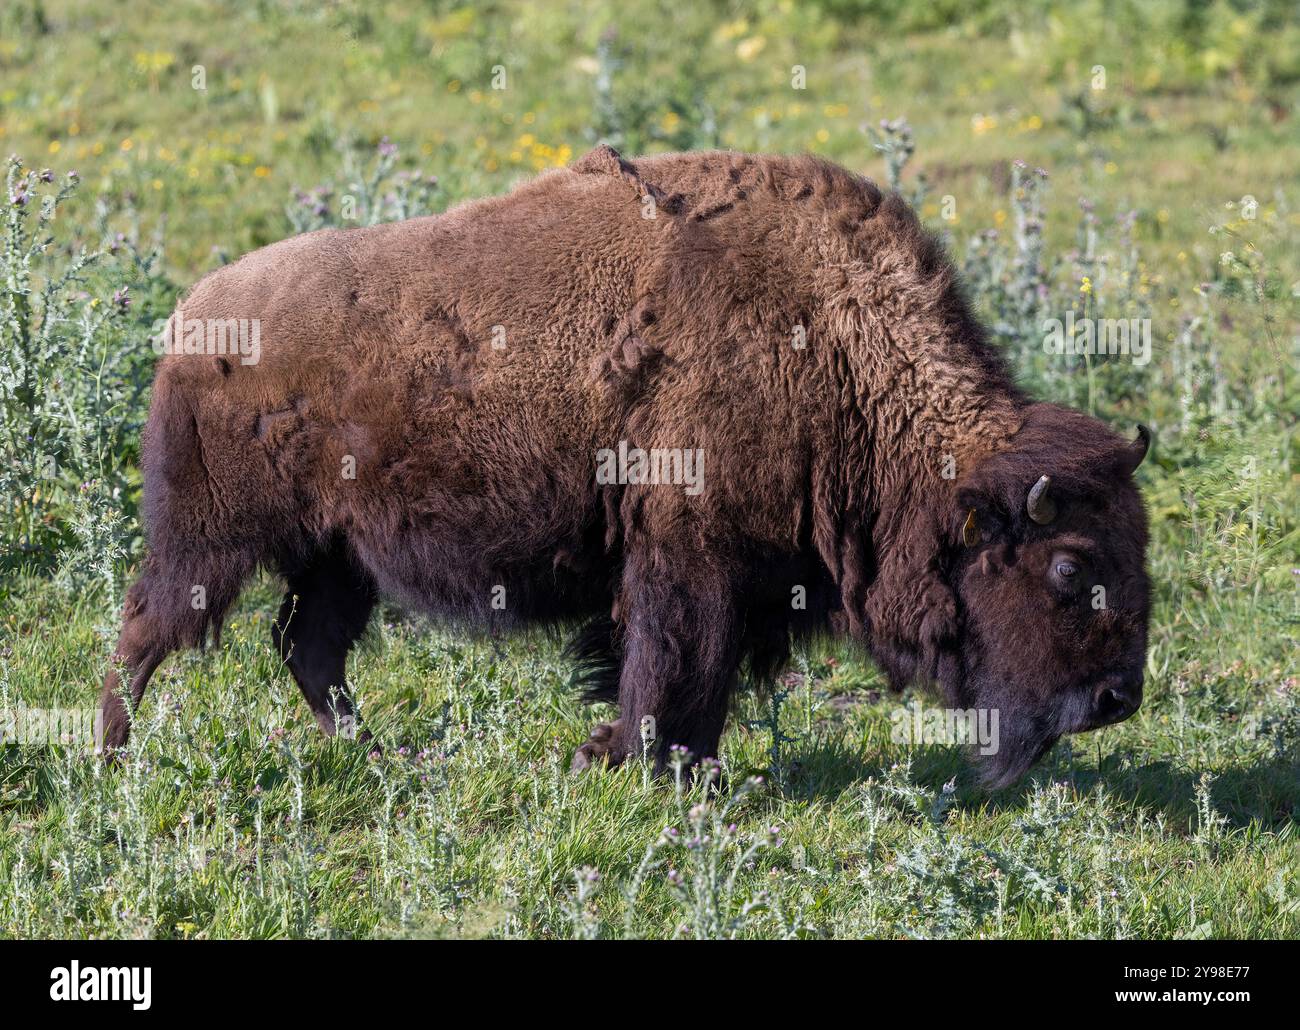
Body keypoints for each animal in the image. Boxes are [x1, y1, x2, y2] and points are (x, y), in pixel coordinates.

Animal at [98, 145, 1151, 786]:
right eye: (1068, 568)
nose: (1116, 700)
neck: (838, 352)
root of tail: (196, 318)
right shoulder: (688, 564)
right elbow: (673, 666)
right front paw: (630, 761)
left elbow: (694, 680)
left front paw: (680, 766)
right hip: (211, 542)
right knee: (149, 629)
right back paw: (115, 757)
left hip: (339, 556)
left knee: (306, 646)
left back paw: (377, 755)